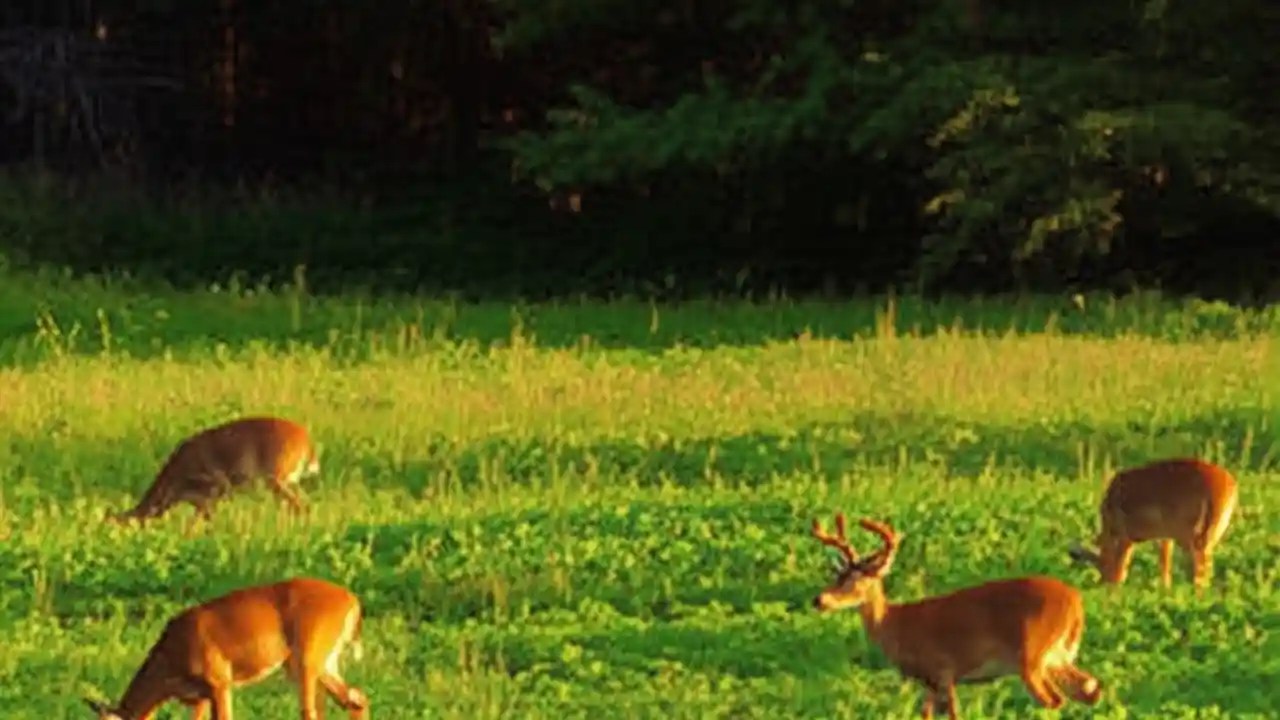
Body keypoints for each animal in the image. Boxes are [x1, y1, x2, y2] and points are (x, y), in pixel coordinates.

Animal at [82, 576, 369, 720]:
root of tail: (352, 600)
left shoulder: (220, 682)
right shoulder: (199, 696)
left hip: (306, 660)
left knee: (312, 712)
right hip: (323, 662)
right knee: (357, 699)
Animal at [108, 416, 321, 532]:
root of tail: (307, 441)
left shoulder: (217, 488)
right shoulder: (202, 500)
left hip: (276, 477)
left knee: (300, 507)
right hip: (291, 481)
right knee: (306, 505)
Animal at [809, 512, 1103, 719]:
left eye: (855, 579)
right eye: (837, 575)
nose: (818, 600)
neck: (895, 625)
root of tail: (1076, 601)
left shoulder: (943, 669)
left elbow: (953, 714)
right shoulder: (928, 681)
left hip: (1032, 655)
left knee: (1055, 701)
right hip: (1058, 656)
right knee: (1091, 689)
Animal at [1068, 457, 1238, 591]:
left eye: (1099, 565)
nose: (1103, 584)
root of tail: (1229, 484)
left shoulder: (1125, 537)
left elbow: (1121, 568)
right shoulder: (1164, 537)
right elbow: (1164, 565)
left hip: (1194, 539)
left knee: (1201, 575)